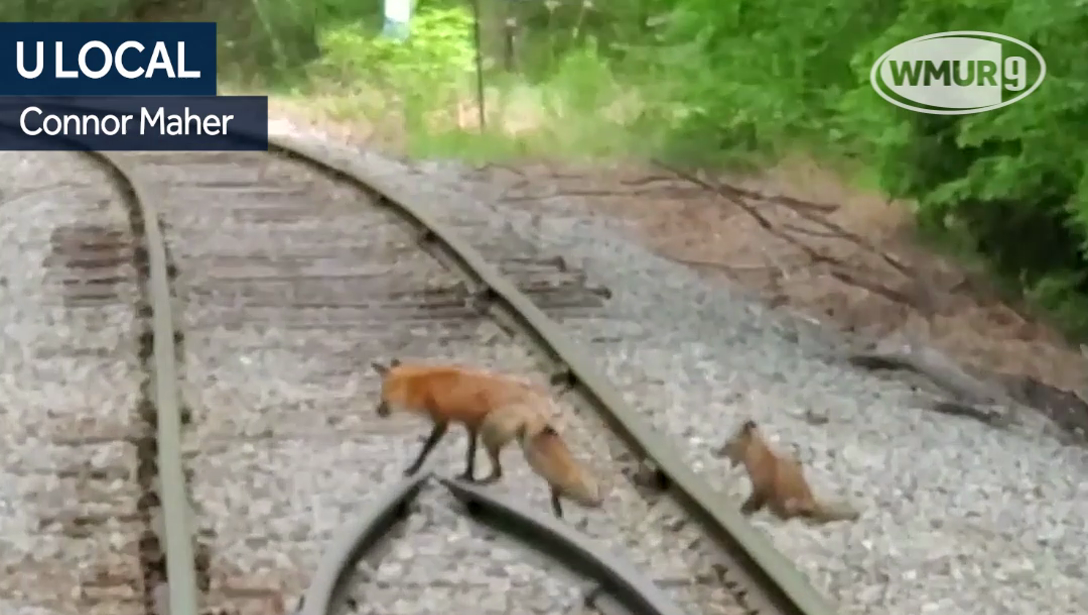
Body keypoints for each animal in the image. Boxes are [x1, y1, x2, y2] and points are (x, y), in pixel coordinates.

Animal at [370, 359, 602, 517]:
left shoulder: (443, 422)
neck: (426, 386)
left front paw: (413, 469)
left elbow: (427, 448)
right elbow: (470, 455)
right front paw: (467, 476)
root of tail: (536, 404)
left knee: (499, 472)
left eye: (384, 397)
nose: (378, 412)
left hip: (492, 437)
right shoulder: (471, 424)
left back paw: (482, 487)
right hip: (510, 440)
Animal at [716, 419, 859, 524]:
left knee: (793, 516)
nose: (717, 451)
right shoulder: (758, 489)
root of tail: (812, 500)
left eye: (728, 443)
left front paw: (746, 511)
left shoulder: (762, 490)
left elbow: (753, 504)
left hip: (790, 504)